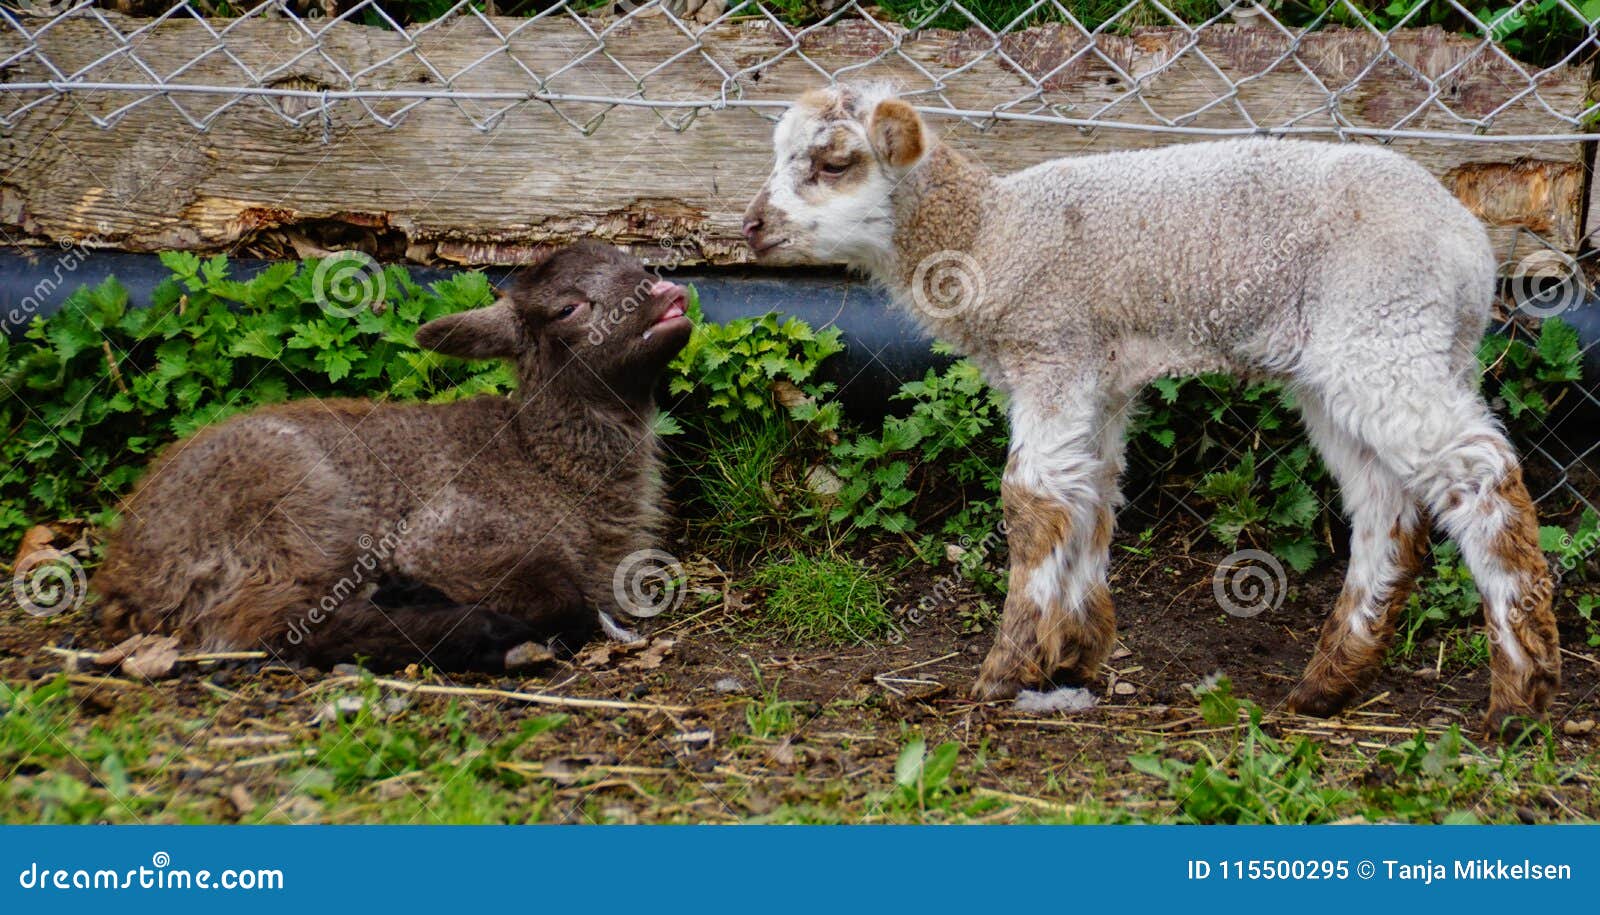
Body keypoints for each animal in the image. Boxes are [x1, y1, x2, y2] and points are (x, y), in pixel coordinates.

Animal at [91, 241, 694, 671]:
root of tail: (128, 574)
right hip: (291, 518)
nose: (670, 295)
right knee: (284, 627)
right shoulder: (449, 533)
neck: (547, 465)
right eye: (569, 307)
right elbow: (564, 600)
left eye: (637, 264)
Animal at [742, 84, 1558, 731]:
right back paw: (1327, 683)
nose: (751, 225)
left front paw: (1007, 669)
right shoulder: (1099, 382)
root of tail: (1474, 254)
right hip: (1361, 362)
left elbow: (1030, 500)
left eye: (833, 164)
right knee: (1385, 509)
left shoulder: (1053, 348)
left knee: (1483, 473)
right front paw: (1074, 653)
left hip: (1387, 329)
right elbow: (1090, 497)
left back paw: (1520, 694)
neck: (990, 234)